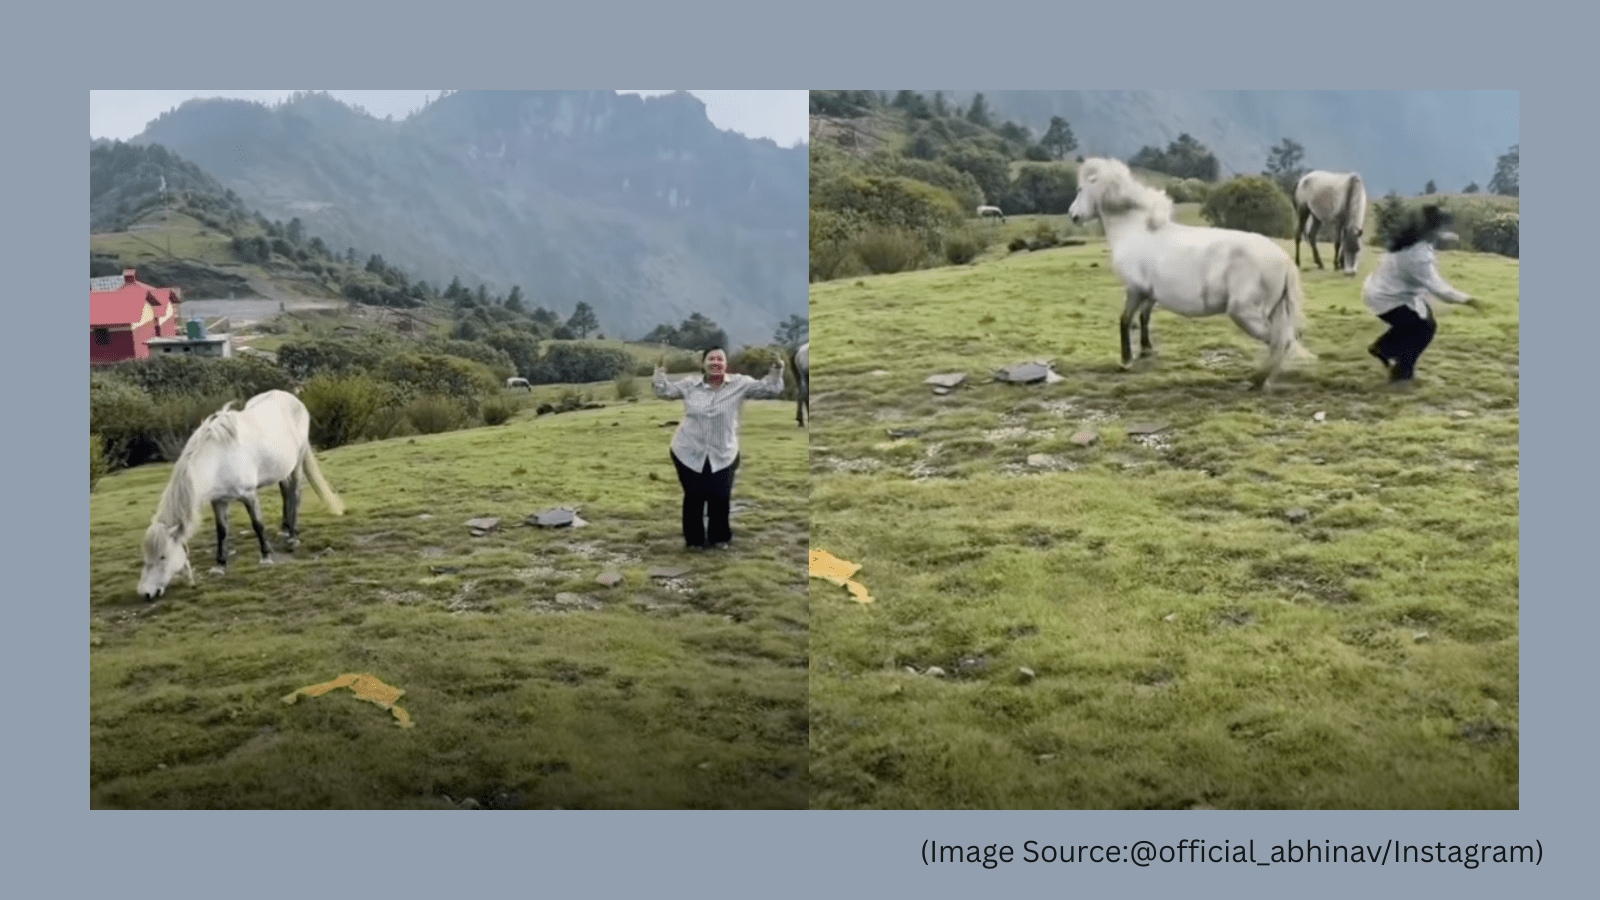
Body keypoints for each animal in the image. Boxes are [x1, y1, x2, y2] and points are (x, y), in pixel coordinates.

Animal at [137, 390, 345, 600]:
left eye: (163, 556)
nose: (146, 593)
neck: (217, 459)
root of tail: (292, 398)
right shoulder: (218, 501)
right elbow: (221, 531)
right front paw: (220, 565)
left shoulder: (248, 495)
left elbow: (257, 524)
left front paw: (266, 556)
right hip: (281, 468)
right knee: (286, 491)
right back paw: (285, 529)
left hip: (297, 462)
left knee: (295, 493)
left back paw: (293, 536)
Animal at [1066, 157, 1313, 389]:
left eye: (1080, 189)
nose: (1072, 215)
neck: (1137, 231)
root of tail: (1284, 260)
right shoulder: (1149, 294)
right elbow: (1145, 317)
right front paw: (1146, 350)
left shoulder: (1135, 289)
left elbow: (1125, 319)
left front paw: (1125, 361)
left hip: (1244, 313)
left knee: (1279, 342)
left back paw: (1257, 380)